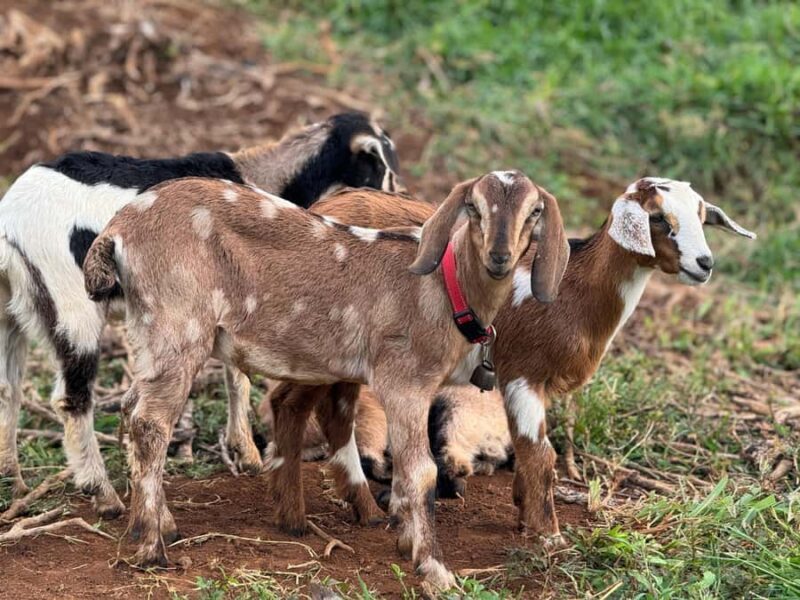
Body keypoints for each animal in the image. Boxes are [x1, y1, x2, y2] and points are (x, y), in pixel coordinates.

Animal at [0, 112, 400, 518]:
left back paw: (12, 481)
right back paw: (103, 494)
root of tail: (10, 225)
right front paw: (248, 455)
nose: (398, 197)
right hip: (72, 303)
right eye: (379, 165)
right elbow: (239, 377)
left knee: (8, 388)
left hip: (10, 310)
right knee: (73, 396)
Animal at [83, 171, 569, 590]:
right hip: (178, 325)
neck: (442, 290)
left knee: (131, 407)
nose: (499, 257)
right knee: (151, 423)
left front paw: (406, 541)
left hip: (149, 334)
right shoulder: (405, 381)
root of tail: (118, 228)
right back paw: (152, 549)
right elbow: (420, 473)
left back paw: (155, 524)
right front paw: (434, 569)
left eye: (534, 212)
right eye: (474, 207)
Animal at [268, 176, 756, 549]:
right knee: (293, 402)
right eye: (658, 218)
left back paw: (358, 509)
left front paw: (524, 514)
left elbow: (525, 450)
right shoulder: (524, 371)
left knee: (327, 409)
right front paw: (548, 536)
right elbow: (541, 453)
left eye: (702, 216)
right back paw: (303, 513)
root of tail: (321, 205)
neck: (574, 291)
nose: (704, 263)